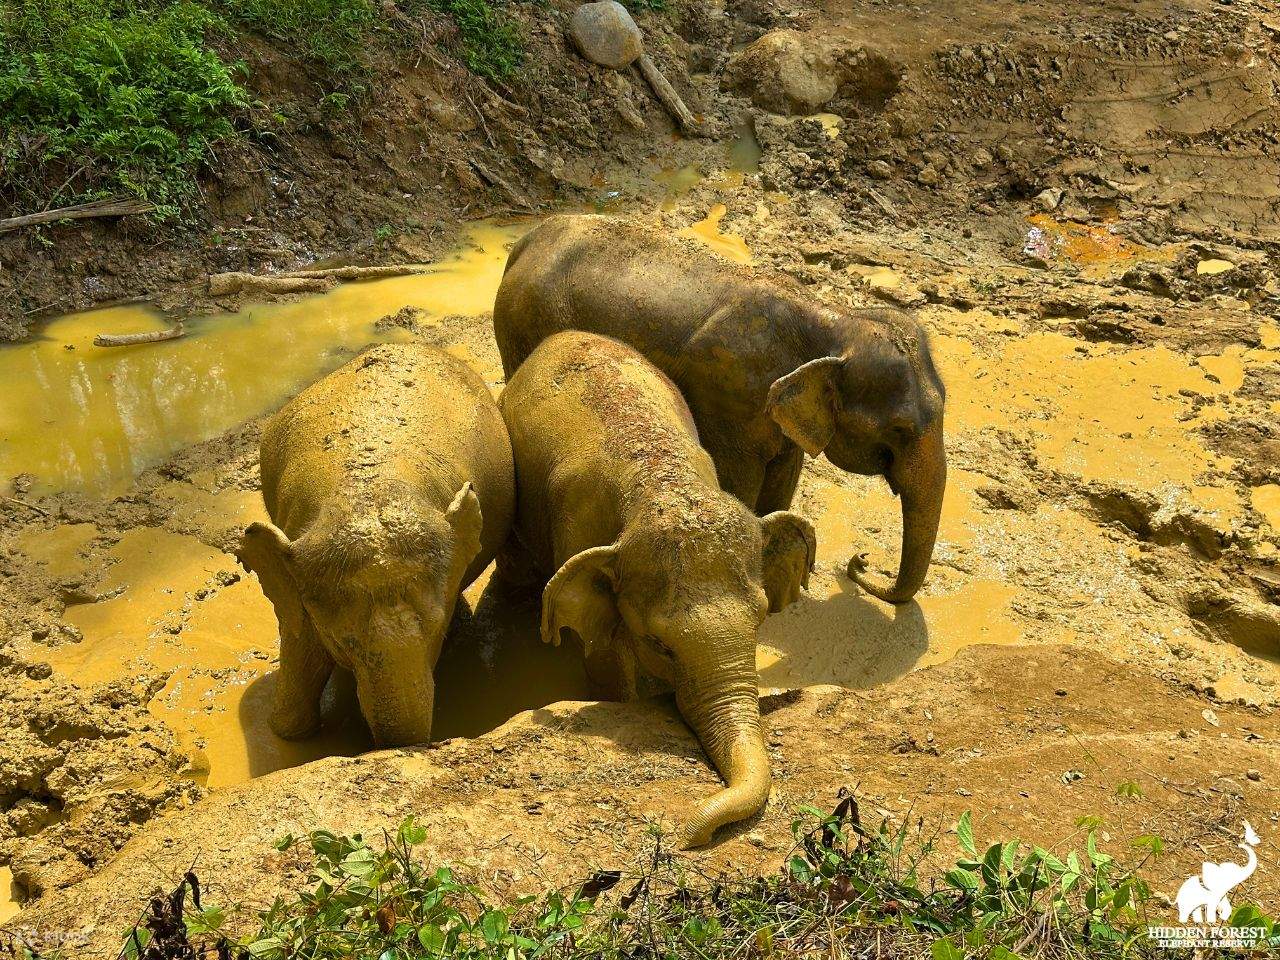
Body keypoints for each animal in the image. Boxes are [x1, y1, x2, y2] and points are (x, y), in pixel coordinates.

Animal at [493, 214, 946, 604]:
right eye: (901, 430)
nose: (861, 562)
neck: (834, 322)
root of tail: (526, 241)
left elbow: (784, 474)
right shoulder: (728, 397)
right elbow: (741, 480)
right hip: (522, 324)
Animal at [498, 330, 816, 847]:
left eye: (761, 619)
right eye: (658, 644)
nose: (690, 834)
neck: (659, 479)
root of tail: (561, 337)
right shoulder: (577, 530)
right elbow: (604, 656)